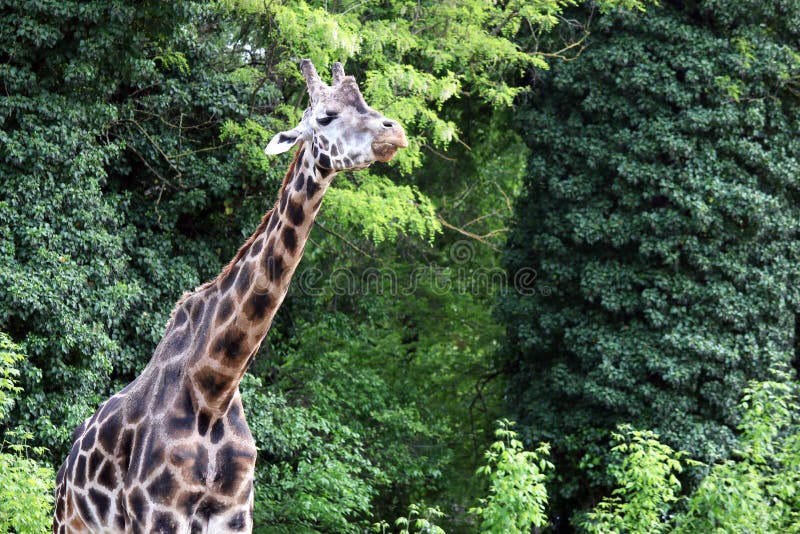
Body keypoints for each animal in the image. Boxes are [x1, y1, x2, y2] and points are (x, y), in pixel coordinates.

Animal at [53, 59, 408, 534]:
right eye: (325, 117)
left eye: (365, 101)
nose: (395, 132)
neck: (214, 387)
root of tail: (64, 470)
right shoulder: (158, 512)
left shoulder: (235, 513)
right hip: (72, 524)